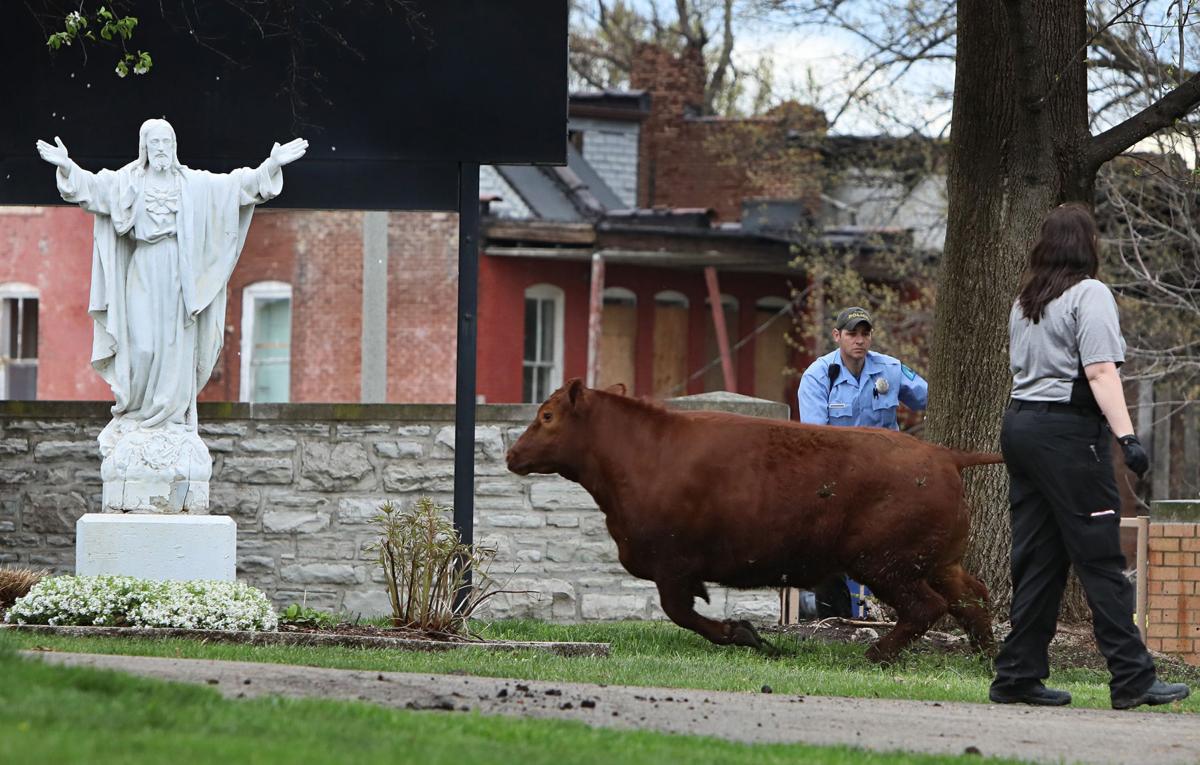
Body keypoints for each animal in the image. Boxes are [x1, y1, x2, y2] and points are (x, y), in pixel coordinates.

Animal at [506, 379, 1002, 663]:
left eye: (546, 416)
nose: (512, 455)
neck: (645, 451)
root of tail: (943, 455)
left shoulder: (673, 568)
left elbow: (680, 612)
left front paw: (742, 633)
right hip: (938, 564)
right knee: (972, 598)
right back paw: (986, 656)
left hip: (885, 565)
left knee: (926, 608)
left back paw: (876, 653)